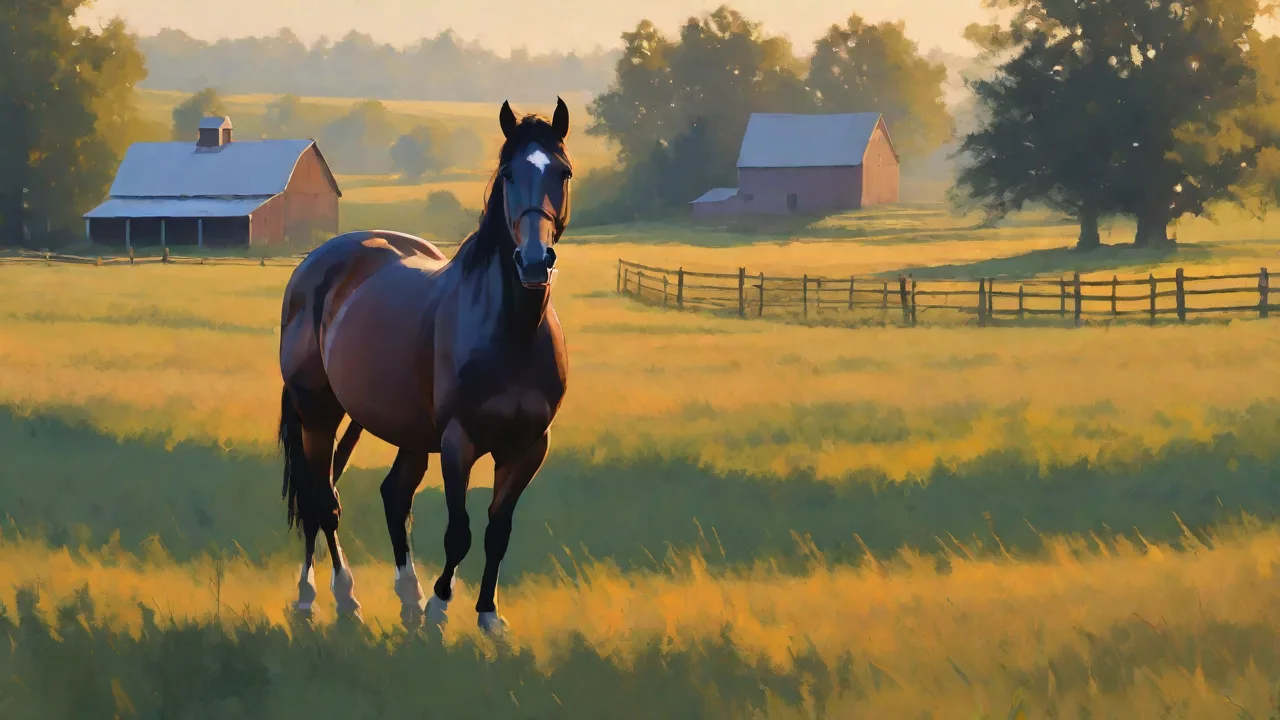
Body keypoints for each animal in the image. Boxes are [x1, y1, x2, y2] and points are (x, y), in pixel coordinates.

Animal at [275, 97, 573, 634]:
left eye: (563, 172)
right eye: (508, 173)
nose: (534, 260)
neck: (510, 333)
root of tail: (314, 264)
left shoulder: (528, 447)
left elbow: (498, 531)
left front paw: (487, 615)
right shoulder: (458, 441)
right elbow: (460, 531)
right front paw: (441, 607)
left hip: (408, 430)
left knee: (391, 495)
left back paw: (405, 597)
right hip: (318, 413)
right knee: (321, 500)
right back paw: (331, 598)